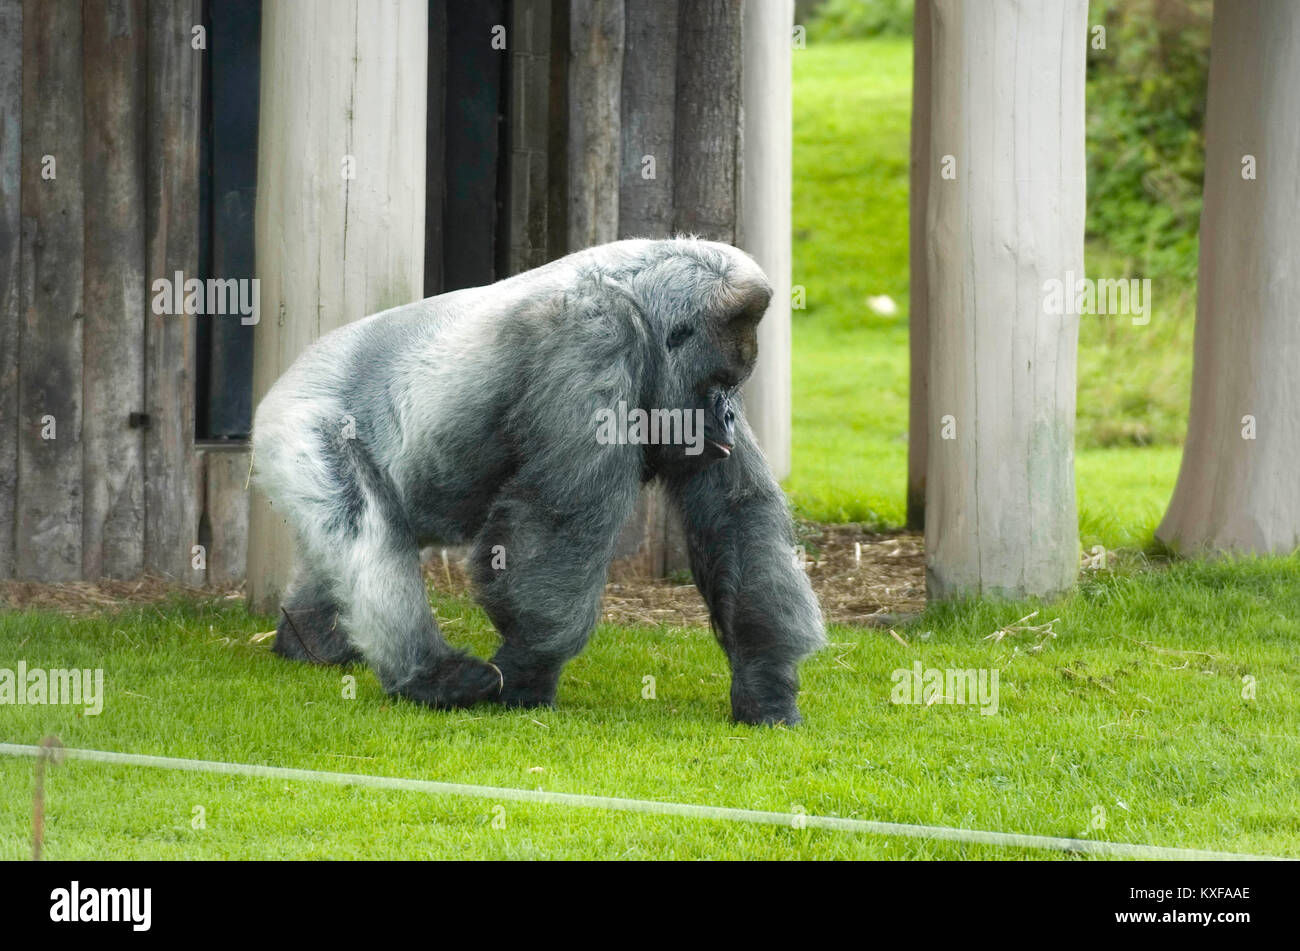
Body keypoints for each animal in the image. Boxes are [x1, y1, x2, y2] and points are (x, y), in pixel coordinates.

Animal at [252, 237, 825, 724]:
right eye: (717, 383)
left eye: (733, 386)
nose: (726, 415)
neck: (641, 303)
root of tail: (285, 377)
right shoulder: (593, 341)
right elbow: (557, 526)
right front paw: (529, 665)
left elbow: (736, 517)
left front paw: (766, 682)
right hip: (300, 422)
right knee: (364, 534)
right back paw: (431, 677)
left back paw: (307, 637)